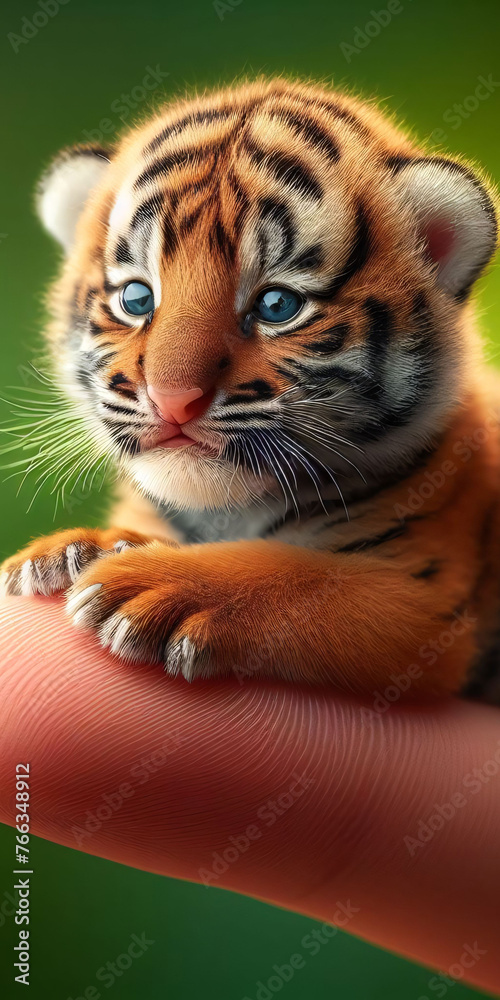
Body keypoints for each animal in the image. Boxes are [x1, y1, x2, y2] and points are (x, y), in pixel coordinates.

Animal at [1, 77, 500, 699]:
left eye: (277, 305)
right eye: (137, 298)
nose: (171, 399)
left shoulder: (420, 598)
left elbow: (305, 577)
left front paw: (154, 585)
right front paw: (70, 551)